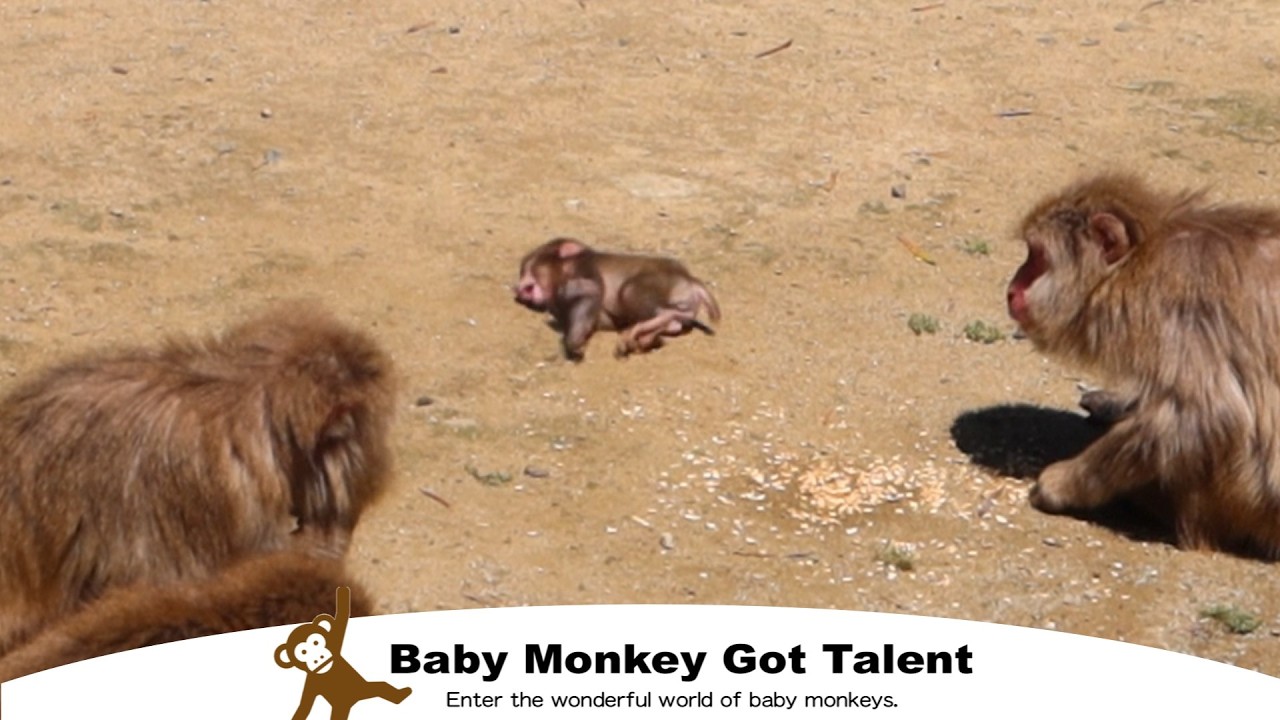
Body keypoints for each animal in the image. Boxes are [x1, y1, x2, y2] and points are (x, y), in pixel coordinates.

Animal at [513, 238, 721, 361]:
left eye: (530, 262)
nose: (517, 287)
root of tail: (691, 280)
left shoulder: (583, 270)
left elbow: (590, 294)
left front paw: (575, 346)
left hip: (652, 286)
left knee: (656, 308)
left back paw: (634, 335)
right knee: (675, 323)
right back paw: (645, 337)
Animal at [1006, 172, 1280, 557]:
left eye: (1037, 257)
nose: (1012, 289)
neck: (1135, 262)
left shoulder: (1170, 308)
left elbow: (1209, 413)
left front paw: (1062, 484)